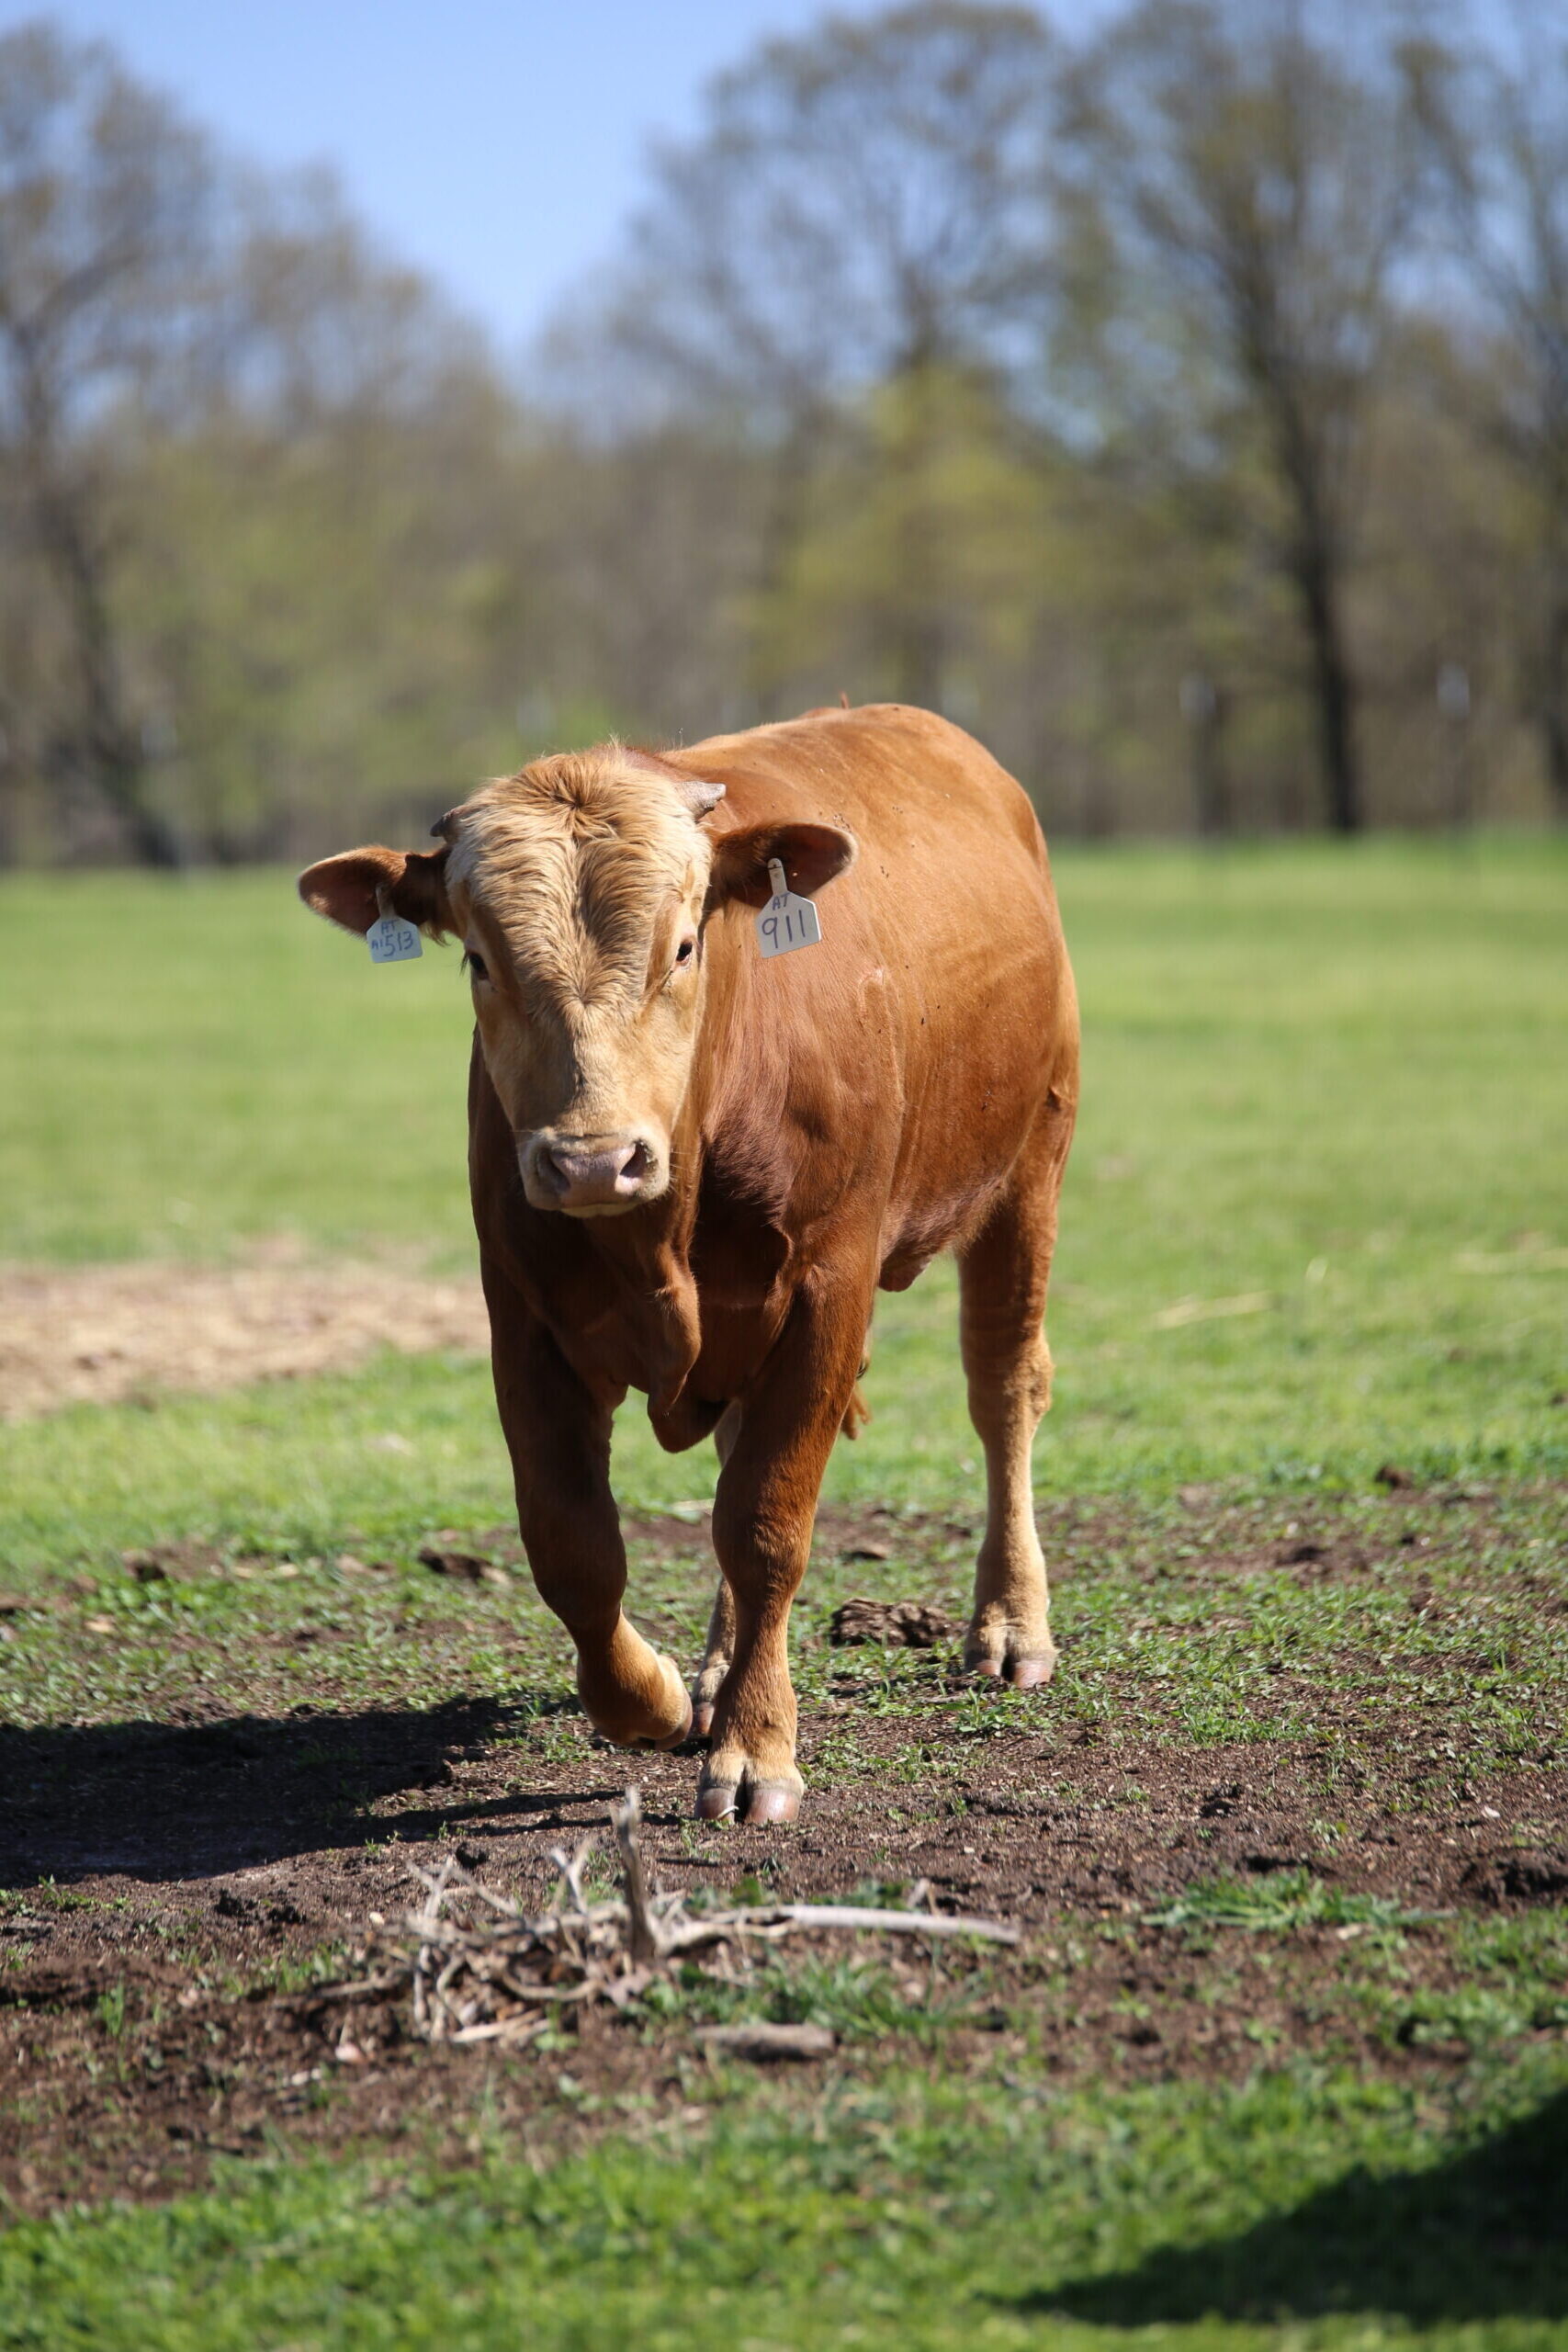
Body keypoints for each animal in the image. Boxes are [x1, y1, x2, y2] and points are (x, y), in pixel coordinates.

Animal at [299, 704, 1077, 1824]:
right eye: (481, 962)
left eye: (682, 943)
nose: (591, 1158)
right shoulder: (522, 1319)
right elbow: (573, 1545)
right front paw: (658, 1699)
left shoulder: (825, 1294)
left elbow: (765, 1526)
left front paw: (757, 1746)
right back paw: (712, 1671)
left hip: (1029, 1169)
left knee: (1004, 1387)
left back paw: (1010, 1621)